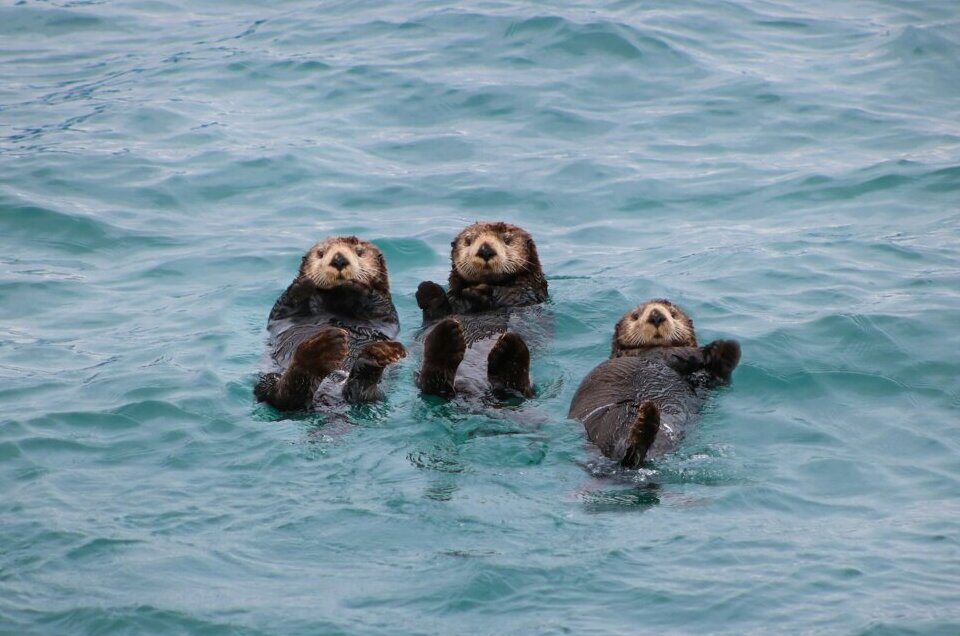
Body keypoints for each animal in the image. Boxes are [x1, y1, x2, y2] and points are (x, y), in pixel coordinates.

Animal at [254, 236, 406, 412]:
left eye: (359, 252)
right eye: (321, 253)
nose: (339, 260)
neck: (336, 301)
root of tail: (328, 396)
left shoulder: (386, 312)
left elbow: (378, 305)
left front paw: (355, 286)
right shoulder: (281, 313)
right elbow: (285, 305)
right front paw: (304, 284)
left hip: (377, 395)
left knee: (360, 393)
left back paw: (375, 356)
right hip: (267, 380)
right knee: (282, 396)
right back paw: (321, 350)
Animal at [414, 221, 548, 400]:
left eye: (507, 239)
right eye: (469, 240)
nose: (485, 250)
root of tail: (473, 389)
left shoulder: (527, 293)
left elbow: (511, 294)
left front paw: (480, 292)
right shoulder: (450, 306)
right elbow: (438, 311)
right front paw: (428, 289)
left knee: (520, 389)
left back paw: (509, 351)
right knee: (432, 383)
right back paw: (446, 338)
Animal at [568, 299, 740, 467]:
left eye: (673, 313)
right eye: (636, 316)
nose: (656, 315)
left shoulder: (702, 382)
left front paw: (724, 352)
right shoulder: (655, 353)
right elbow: (678, 353)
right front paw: (716, 349)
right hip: (609, 421)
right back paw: (645, 422)